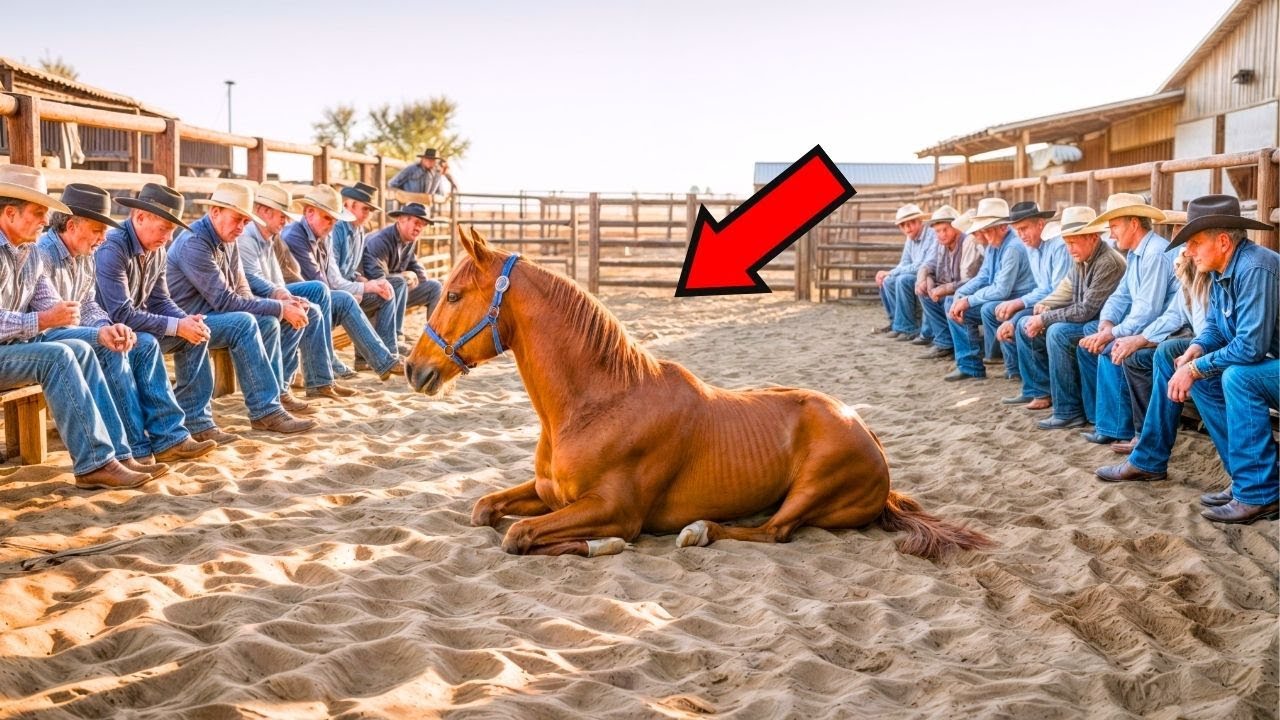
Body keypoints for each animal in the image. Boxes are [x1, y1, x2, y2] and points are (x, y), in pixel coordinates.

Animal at [404, 228, 991, 560]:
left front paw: (603, 545)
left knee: (775, 532)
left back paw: (699, 532)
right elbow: (485, 510)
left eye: (454, 294)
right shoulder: (552, 493)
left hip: (812, 491)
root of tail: (866, 431)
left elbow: (520, 535)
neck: (598, 405)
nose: (413, 369)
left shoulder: (613, 510)